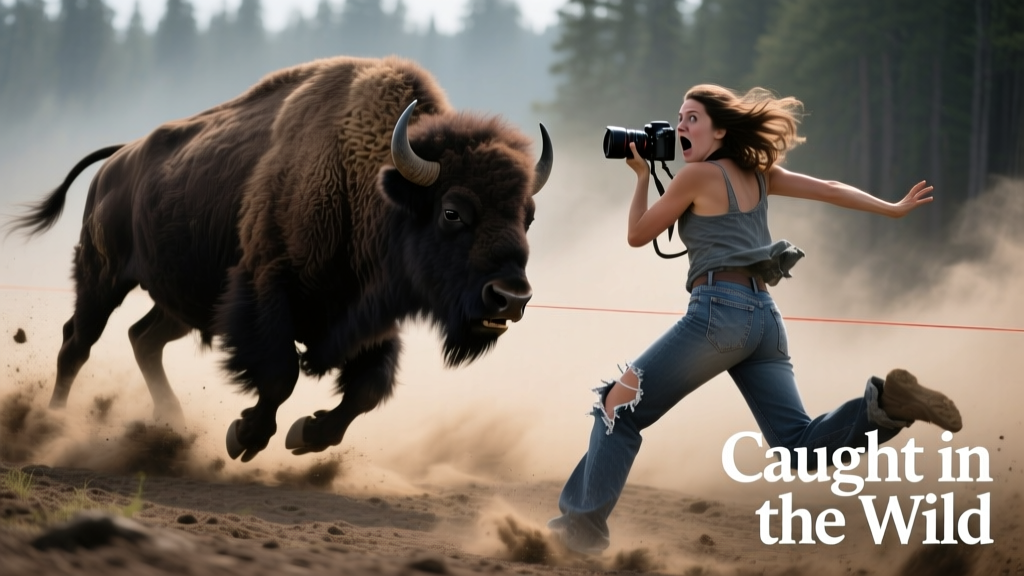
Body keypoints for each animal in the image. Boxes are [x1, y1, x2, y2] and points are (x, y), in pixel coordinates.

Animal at [9, 56, 553, 462]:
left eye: (528, 216)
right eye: (452, 211)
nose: (510, 298)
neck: (368, 184)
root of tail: (117, 160)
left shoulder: (372, 321)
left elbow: (367, 389)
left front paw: (306, 434)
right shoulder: (266, 291)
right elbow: (280, 374)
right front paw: (244, 437)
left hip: (181, 301)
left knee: (143, 338)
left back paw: (172, 423)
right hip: (102, 278)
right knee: (76, 343)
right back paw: (51, 422)